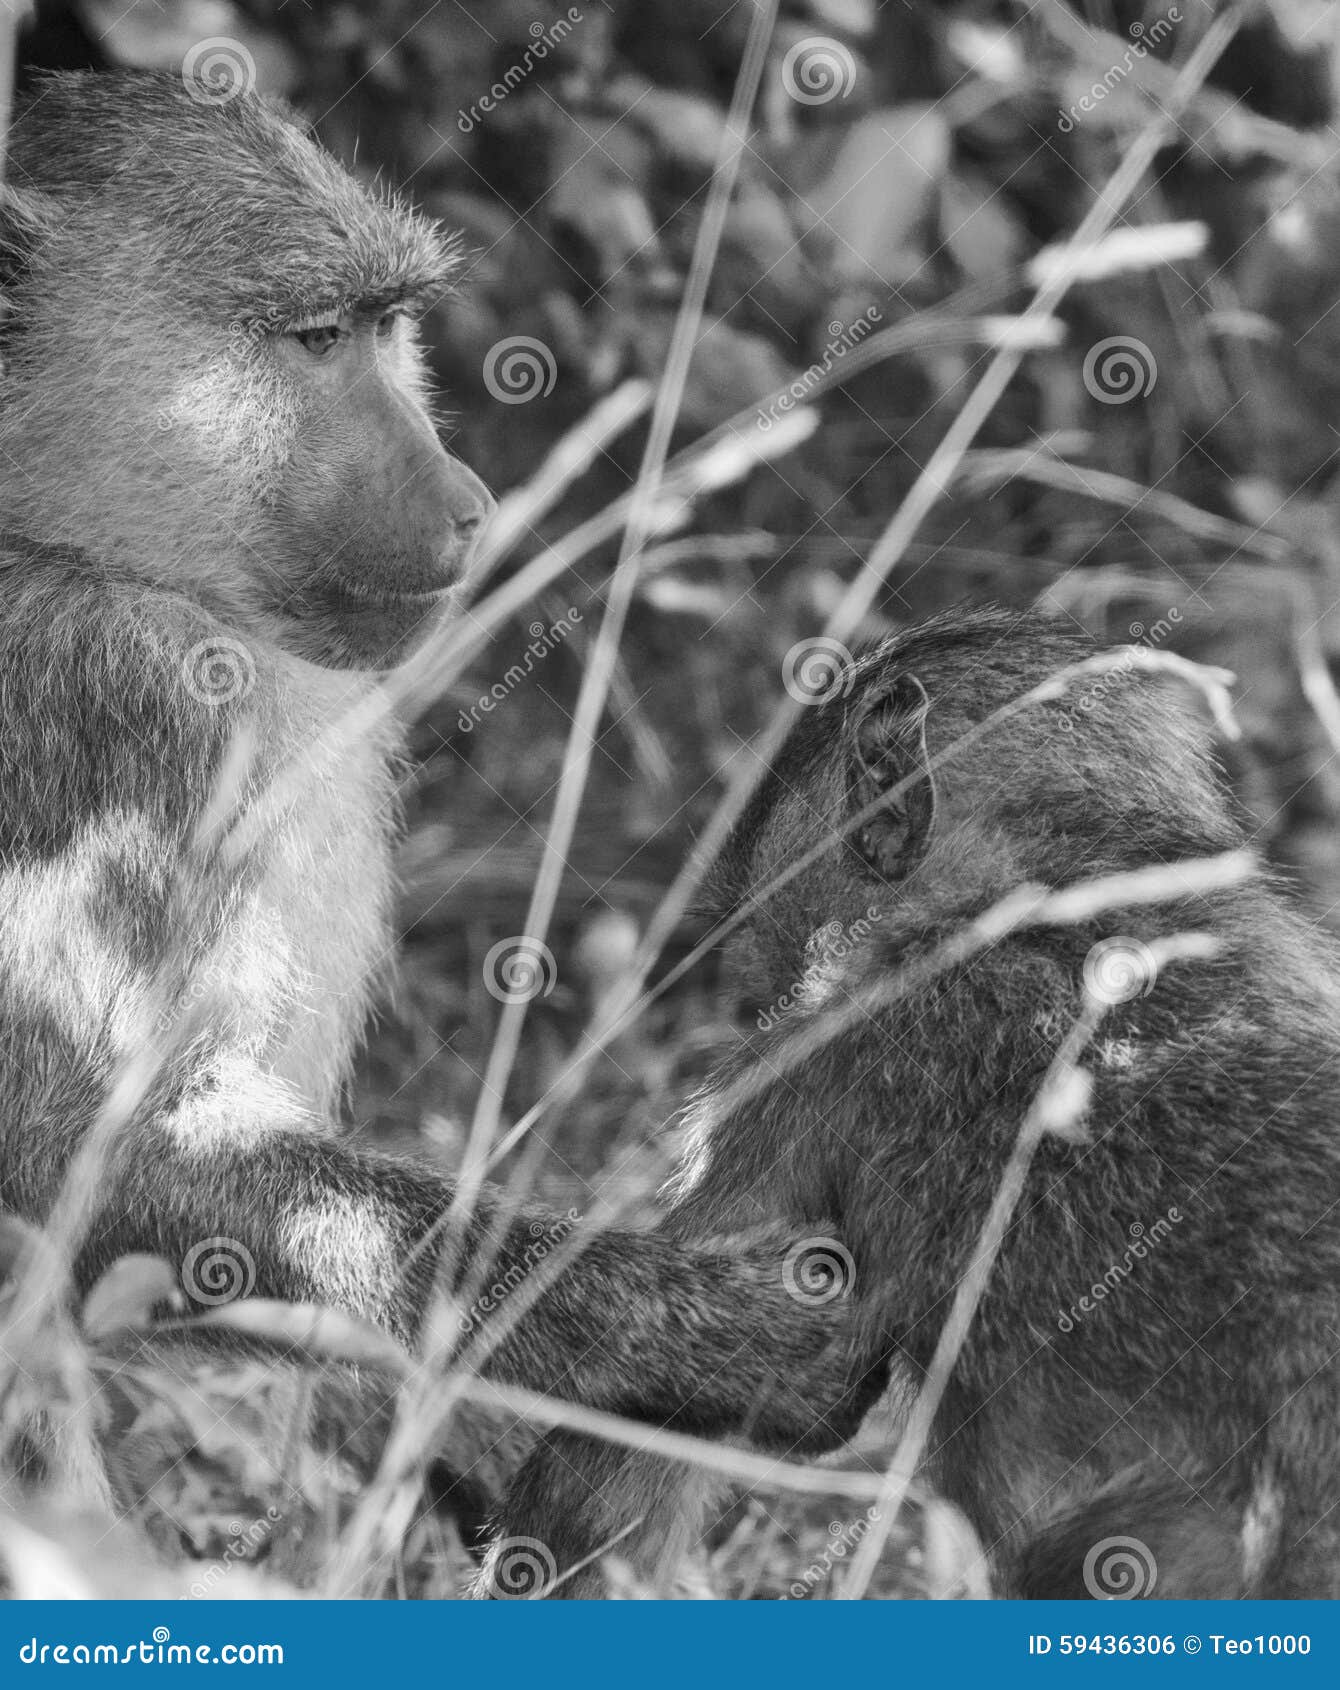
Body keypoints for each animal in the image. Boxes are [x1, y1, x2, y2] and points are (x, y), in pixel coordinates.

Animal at [0, 69, 877, 1560]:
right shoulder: (108, 695)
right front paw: (693, 1328)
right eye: (309, 339)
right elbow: (66, 1147)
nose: (467, 505)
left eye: (384, 326)